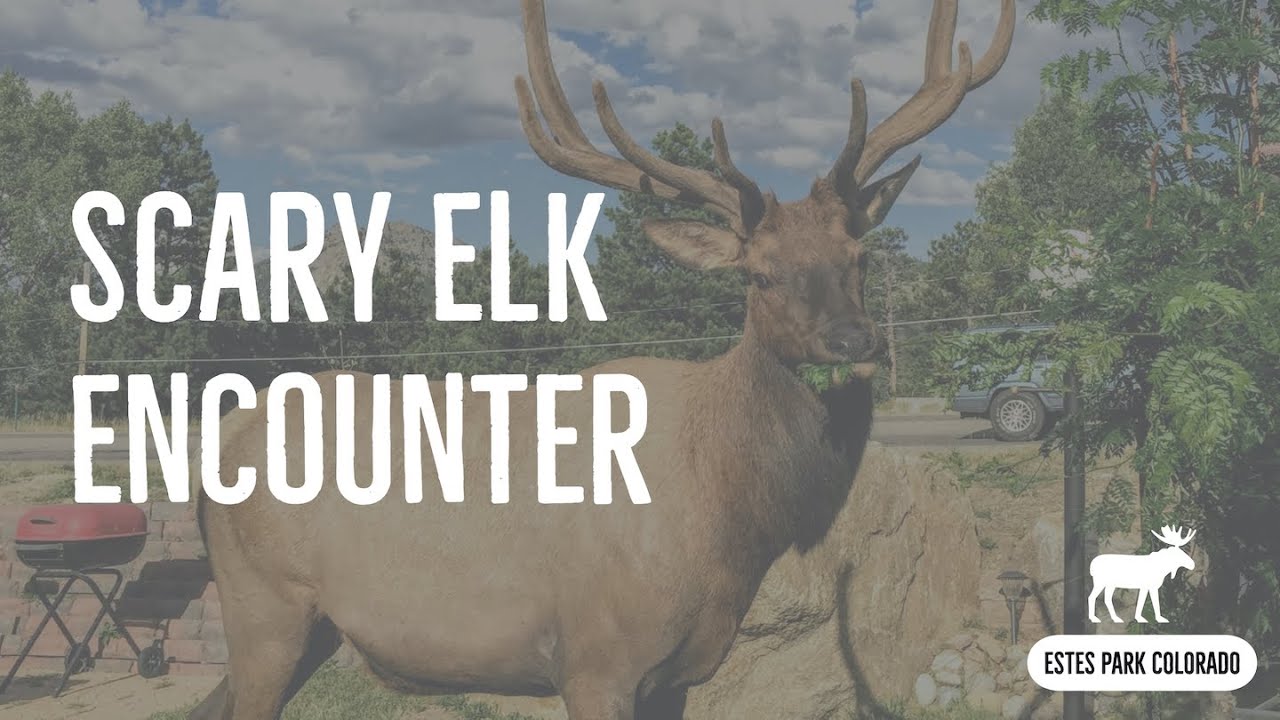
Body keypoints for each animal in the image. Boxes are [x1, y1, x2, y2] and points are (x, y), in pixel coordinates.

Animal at [189, 2, 1014, 718]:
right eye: (759, 274)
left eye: (860, 257)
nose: (852, 341)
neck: (732, 529)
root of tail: (217, 437)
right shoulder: (596, 660)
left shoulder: (681, 671)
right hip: (264, 606)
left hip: (306, 628)